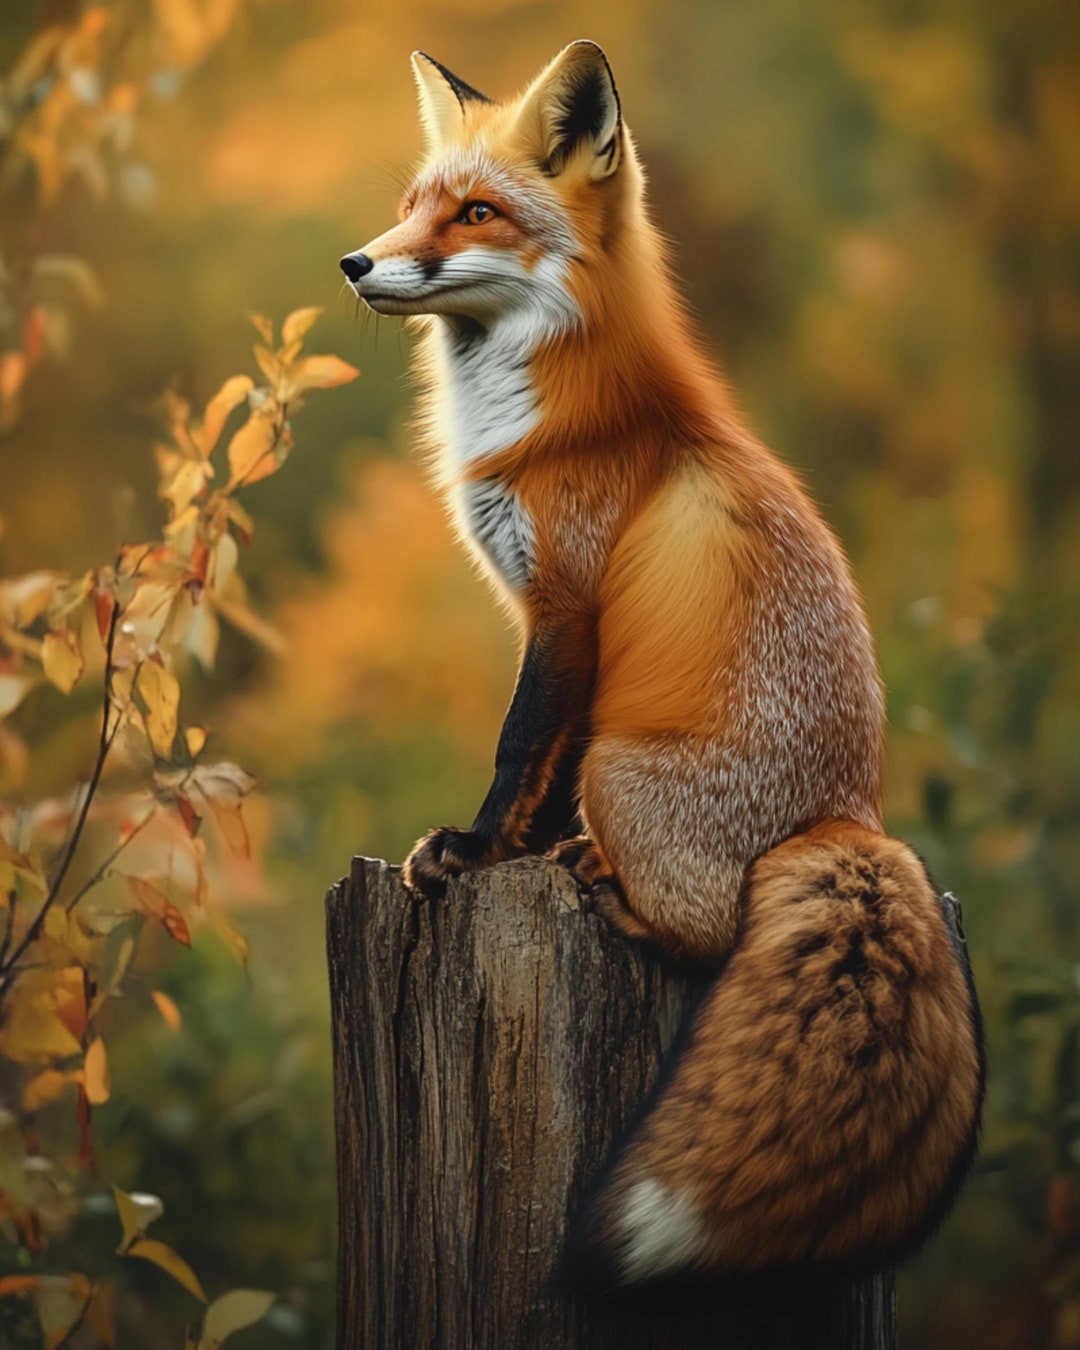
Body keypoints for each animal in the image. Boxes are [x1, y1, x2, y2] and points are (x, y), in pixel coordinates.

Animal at [339, 40, 985, 1285]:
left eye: (476, 213)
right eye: (413, 207)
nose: (355, 263)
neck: (552, 413)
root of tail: (847, 820)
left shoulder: (568, 604)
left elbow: (521, 746)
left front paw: (476, 851)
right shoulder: (556, 624)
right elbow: (542, 766)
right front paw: (520, 852)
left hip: (629, 771)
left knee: (708, 937)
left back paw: (613, 891)